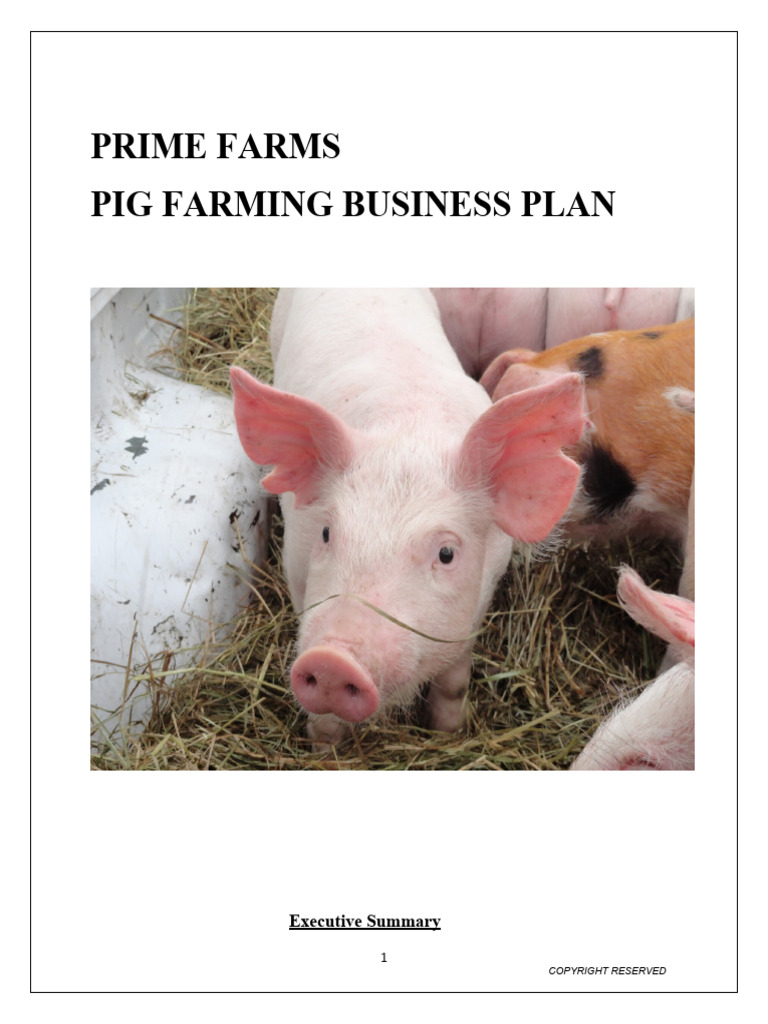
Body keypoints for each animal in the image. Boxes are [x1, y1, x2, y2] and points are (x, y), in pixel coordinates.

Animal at [231, 288, 586, 746]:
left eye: (447, 553)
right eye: (327, 532)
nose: (332, 660)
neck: (408, 432)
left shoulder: (481, 596)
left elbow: (454, 681)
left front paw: (447, 736)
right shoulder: (295, 568)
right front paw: (323, 749)